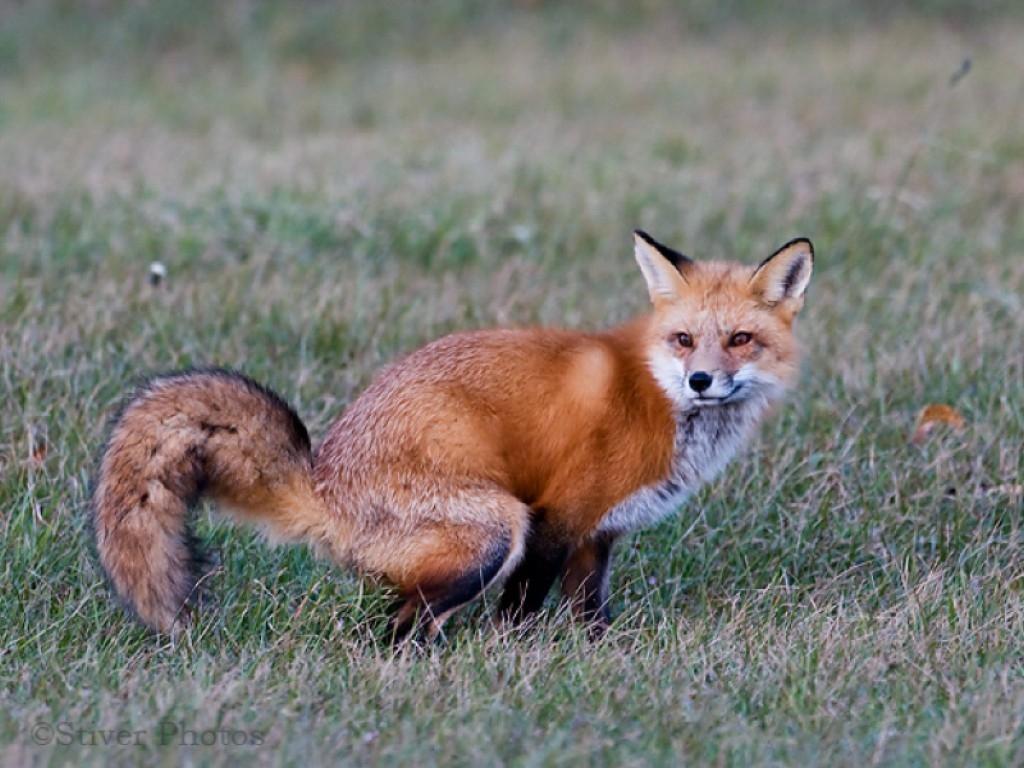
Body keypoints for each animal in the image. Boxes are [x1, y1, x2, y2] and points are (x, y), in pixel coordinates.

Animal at [91, 231, 814, 640]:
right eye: (685, 339)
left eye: (740, 339)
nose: (701, 381)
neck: (655, 397)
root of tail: (321, 482)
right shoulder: (554, 517)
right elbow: (519, 612)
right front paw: (514, 660)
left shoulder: (598, 534)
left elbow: (592, 614)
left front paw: (603, 657)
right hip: (494, 528)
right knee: (391, 630)